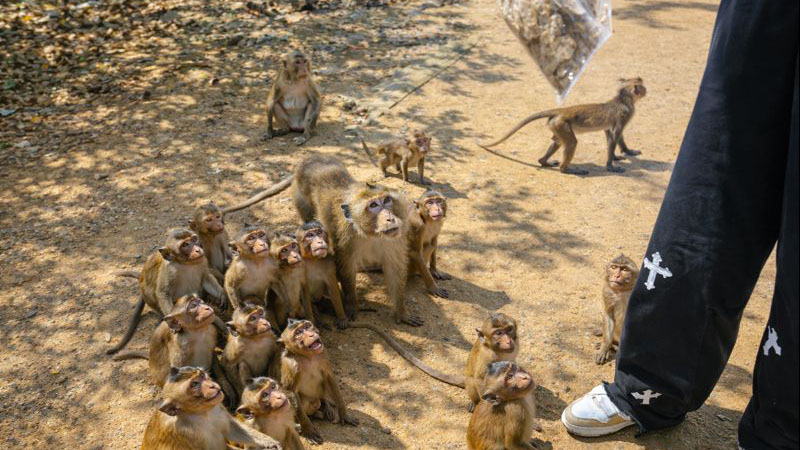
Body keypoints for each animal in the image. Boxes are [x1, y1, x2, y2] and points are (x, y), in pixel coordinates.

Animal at [141, 366, 280, 450]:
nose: (212, 386)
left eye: (202, 375)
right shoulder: (186, 434)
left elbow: (231, 429)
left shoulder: (218, 408)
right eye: (194, 384)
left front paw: (271, 443)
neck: (201, 413)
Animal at [292, 155, 422, 326]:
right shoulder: (347, 239)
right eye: (373, 205)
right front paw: (352, 306)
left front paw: (401, 312)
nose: (390, 218)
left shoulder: (395, 237)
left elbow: (395, 269)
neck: (372, 234)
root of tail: (311, 158)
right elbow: (346, 269)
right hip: (301, 199)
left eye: (387, 200)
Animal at [480, 77, 647, 175]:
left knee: (558, 141)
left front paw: (620, 155)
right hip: (562, 123)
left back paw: (544, 161)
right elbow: (616, 133)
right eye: (641, 87)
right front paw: (611, 165)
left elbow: (611, 135)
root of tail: (562, 110)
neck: (623, 99)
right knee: (571, 142)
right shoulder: (625, 113)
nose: (646, 90)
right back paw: (566, 169)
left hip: (556, 124)